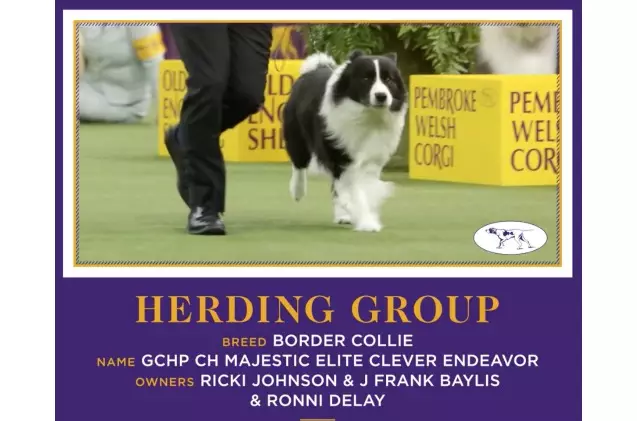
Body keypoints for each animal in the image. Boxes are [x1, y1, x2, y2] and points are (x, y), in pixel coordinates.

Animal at [282, 51, 408, 233]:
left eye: (389, 79)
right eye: (366, 78)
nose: (381, 96)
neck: (367, 114)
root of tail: (314, 69)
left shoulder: (373, 158)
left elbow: (362, 189)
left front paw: (361, 215)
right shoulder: (341, 156)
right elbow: (354, 191)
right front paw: (367, 223)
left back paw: (343, 215)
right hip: (295, 134)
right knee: (299, 164)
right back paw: (298, 192)